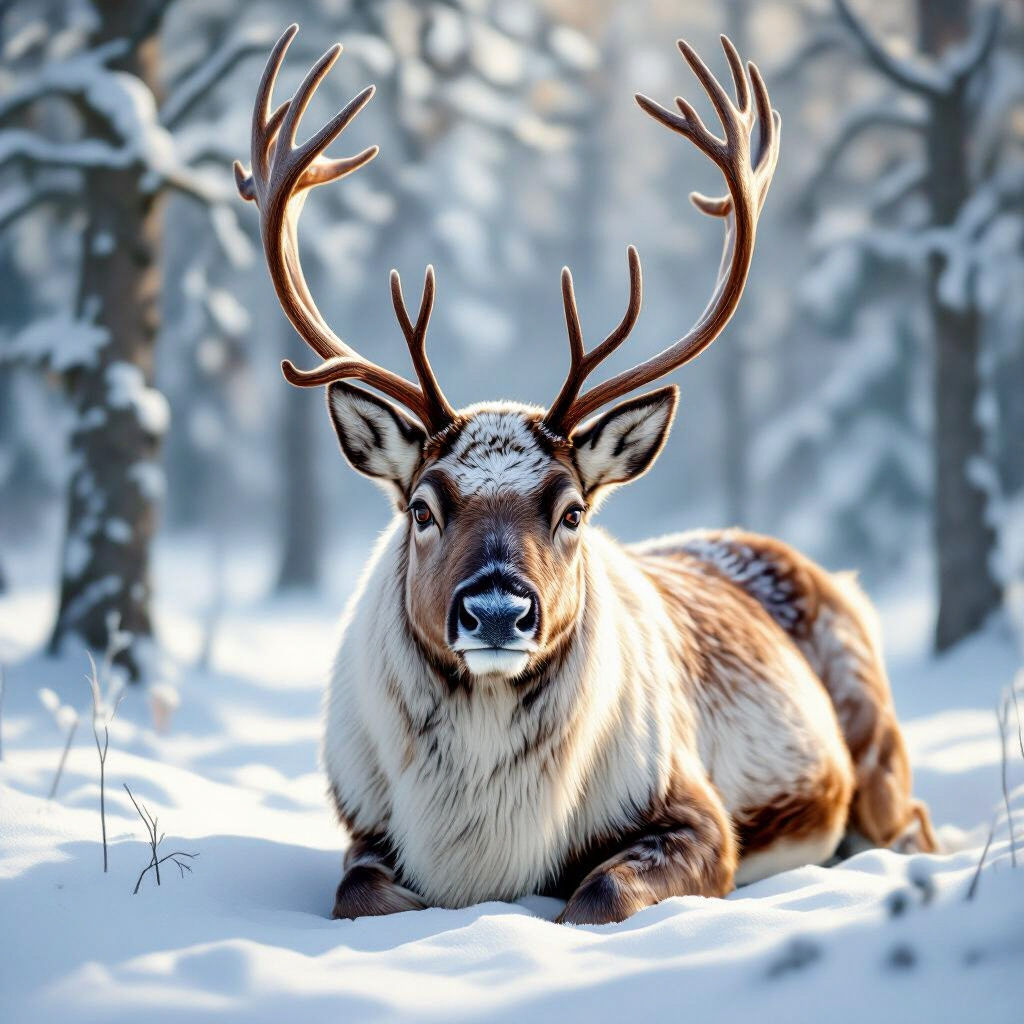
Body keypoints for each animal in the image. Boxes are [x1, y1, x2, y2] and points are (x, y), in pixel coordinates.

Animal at [235, 25, 937, 926]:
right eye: (423, 508)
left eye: (571, 511)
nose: (498, 609)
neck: (482, 850)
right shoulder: (361, 821)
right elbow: (359, 895)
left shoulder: (697, 809)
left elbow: (598, 893)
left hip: (875, 747)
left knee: (914, 821)